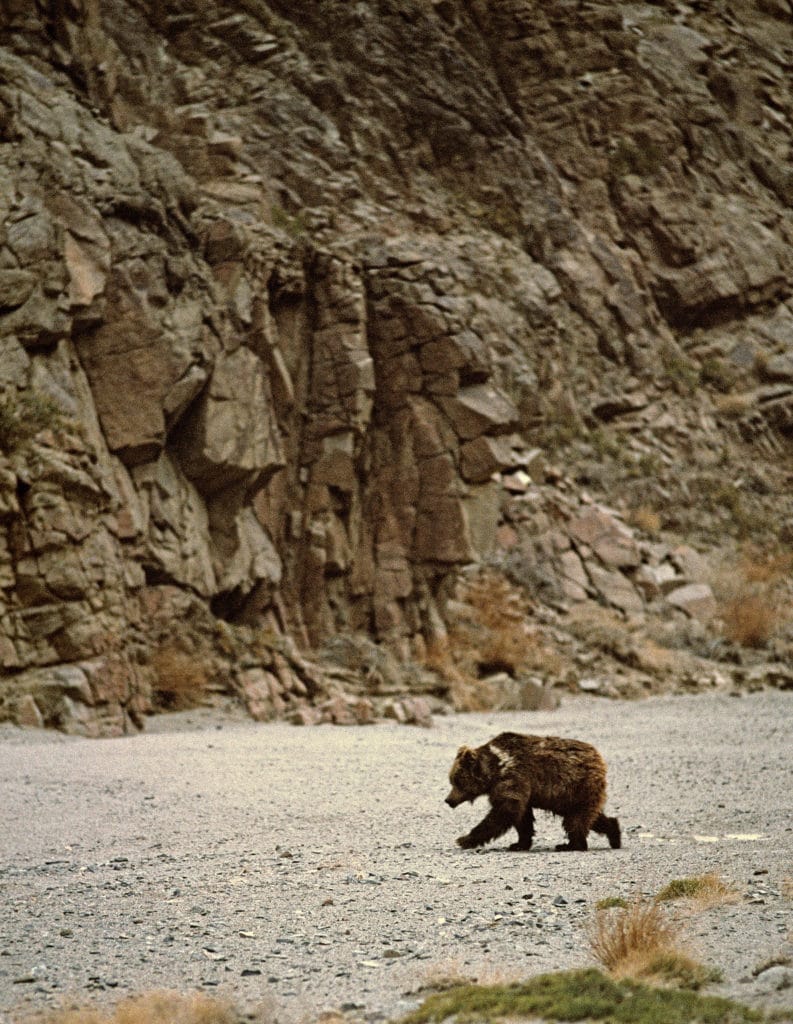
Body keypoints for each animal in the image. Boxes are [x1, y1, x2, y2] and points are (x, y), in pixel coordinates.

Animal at [445, 731, 621, 852]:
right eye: (452, 780)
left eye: (456, 781)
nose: (448, 800)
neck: (494, 770)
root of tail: (599, 758)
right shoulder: (520, 789)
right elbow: (522, 818)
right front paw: (518, 844)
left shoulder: (512, 777)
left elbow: (504, 811)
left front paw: (464, 839)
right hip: (571, 797)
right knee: (590, 817)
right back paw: (614, 834)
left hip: (578, 786)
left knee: (576, 820)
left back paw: (570, 845)